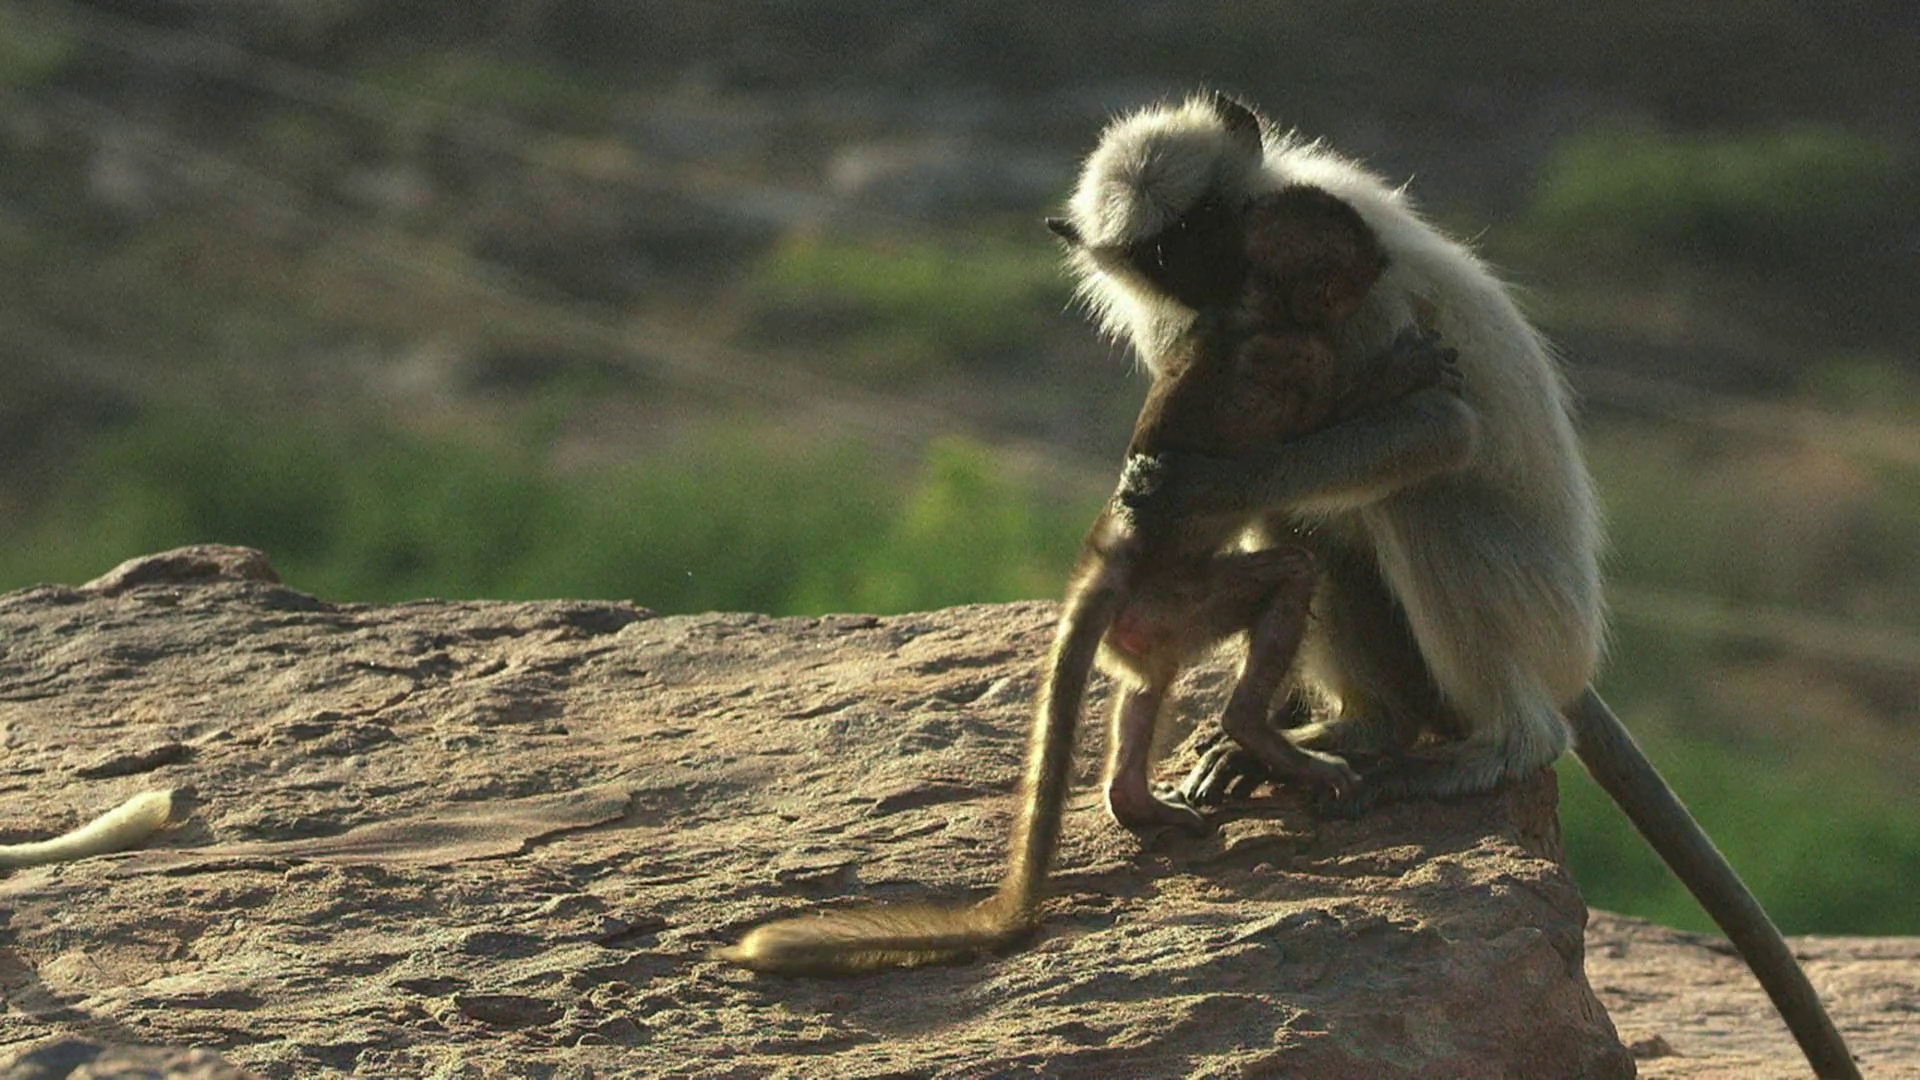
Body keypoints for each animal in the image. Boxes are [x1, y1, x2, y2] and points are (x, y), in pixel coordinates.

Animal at [715, 181, 1458, 976]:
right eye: (1358, 265)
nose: (1382, 265)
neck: (1254, 308)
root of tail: (1108, 556)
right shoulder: (1299, 356)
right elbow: (1320, 428)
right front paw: (1402, 372)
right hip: (1184, 599)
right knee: (1289, 576)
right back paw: (1254, 732)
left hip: (1148, 621)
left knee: (1147, 681)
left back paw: (1138, 799)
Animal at [1040, 90, 1858, 1080]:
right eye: (1166, 251)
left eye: (1208, 220)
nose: (1214, 268)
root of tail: (1571, 658)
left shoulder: (1361, 302)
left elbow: (1438, 427)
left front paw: (1190, 486)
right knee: (1309, 520)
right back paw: (1352, 728)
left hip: (1535, 610)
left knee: (1416, 498)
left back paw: (1488, 747)